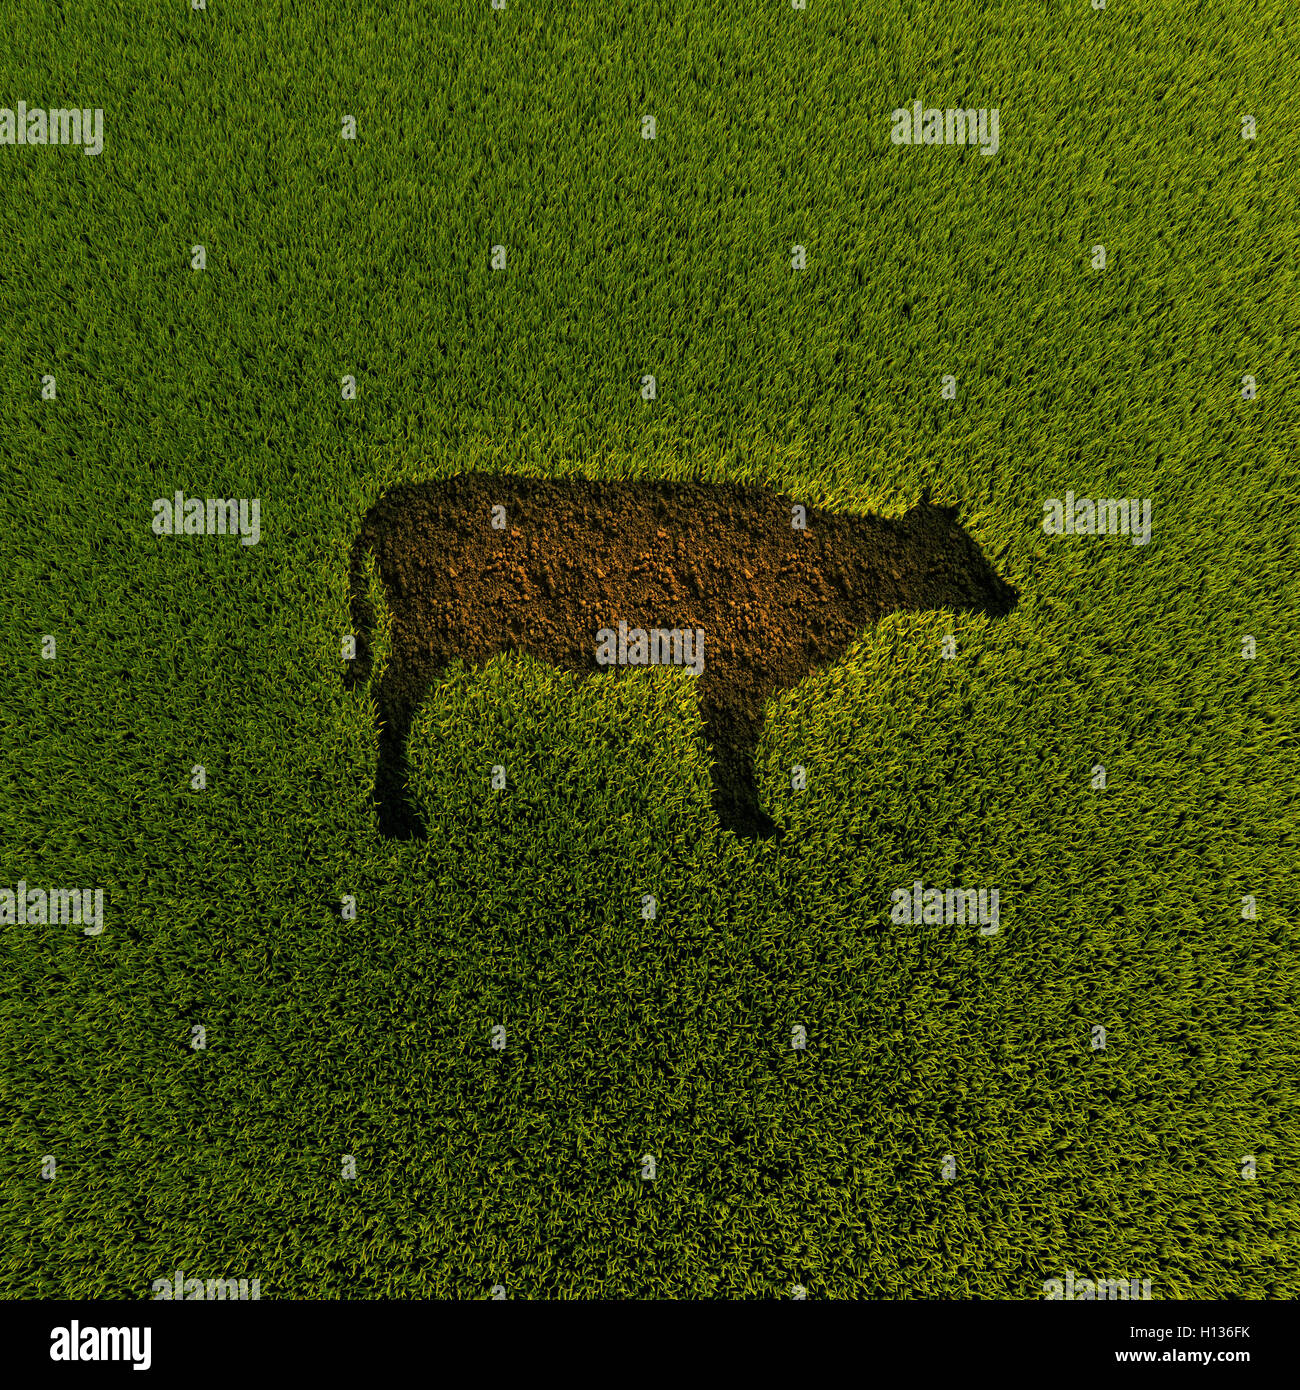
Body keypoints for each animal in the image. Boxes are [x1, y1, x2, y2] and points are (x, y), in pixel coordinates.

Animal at [345, 473, 1018, 840]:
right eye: (959, 553)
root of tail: (390, 502)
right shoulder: (733, 669)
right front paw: (747, 821)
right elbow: (732, 745)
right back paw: (395, 814)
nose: (1010, 594)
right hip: (424, 635)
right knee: (389, 705)